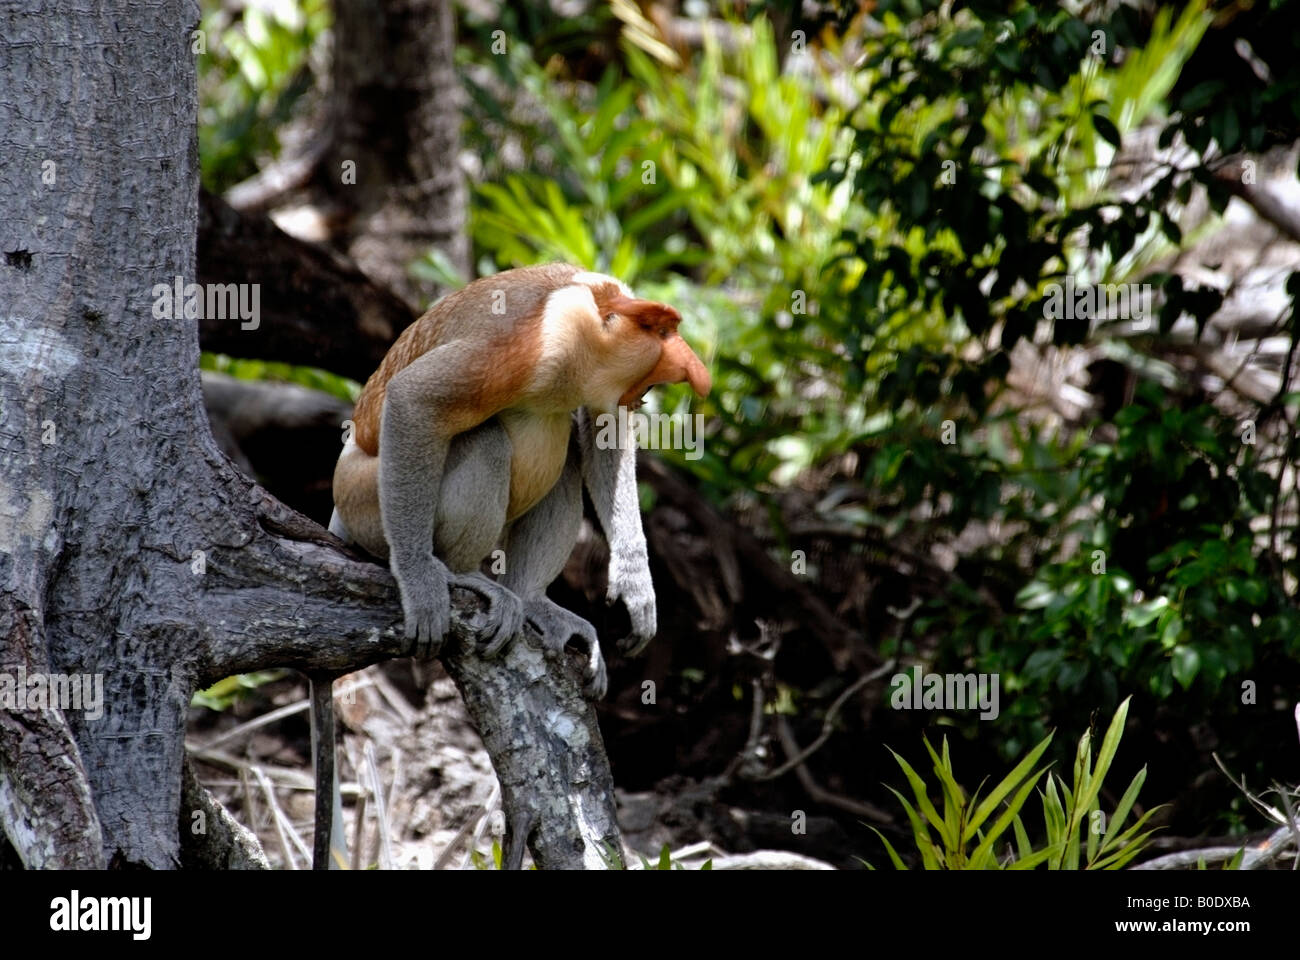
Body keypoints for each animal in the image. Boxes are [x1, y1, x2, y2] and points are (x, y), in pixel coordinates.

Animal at [312, 263, 710, 868]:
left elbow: (599, 432)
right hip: (366, 501)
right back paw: (460, 575)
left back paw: (533, 603)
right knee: (484, 437)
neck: (591, 310)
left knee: (566, 453)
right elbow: (413, 401)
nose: (640, 403)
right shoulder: (524, 343)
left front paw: (636, 589)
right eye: (649, 375)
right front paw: (420, 581)